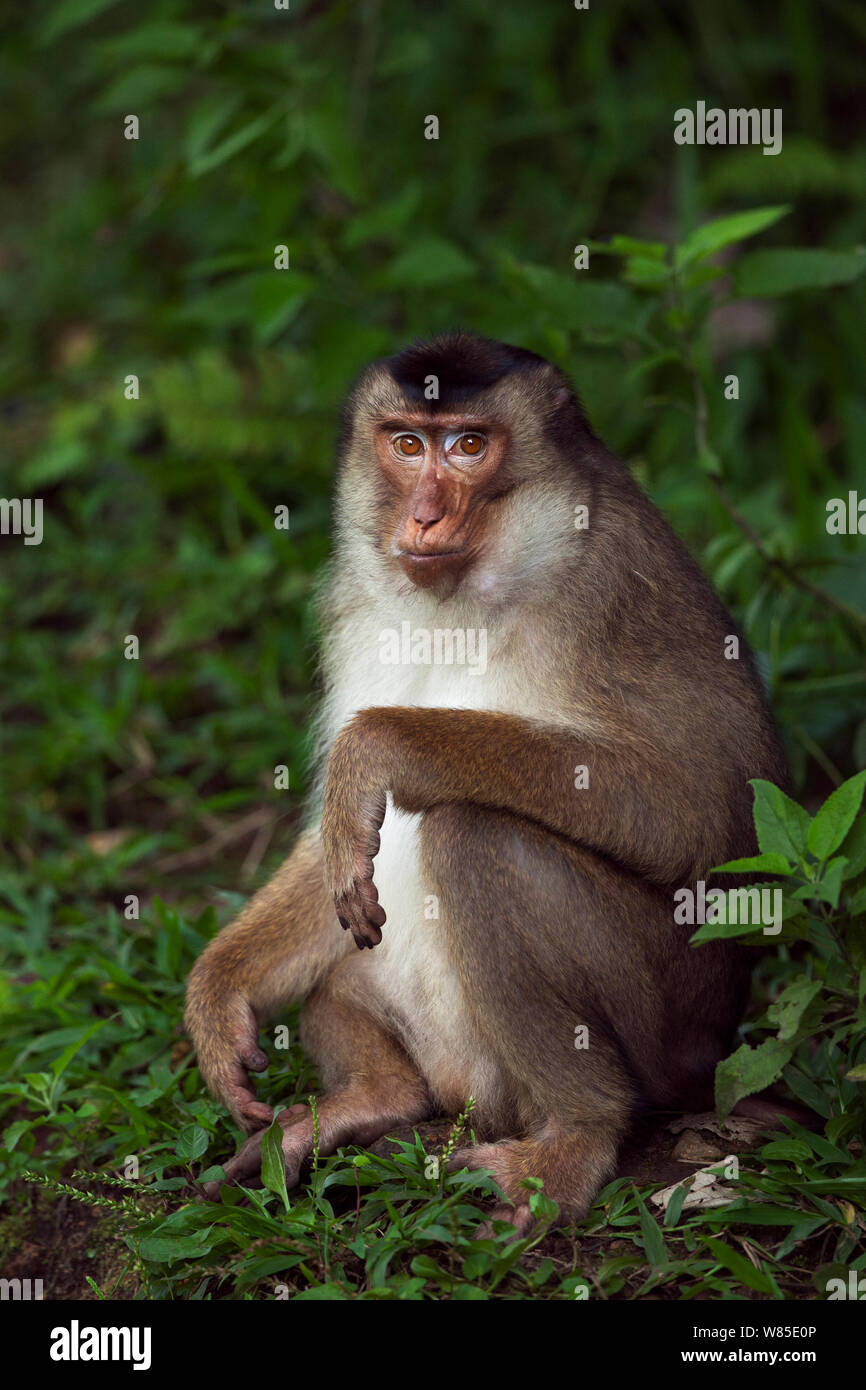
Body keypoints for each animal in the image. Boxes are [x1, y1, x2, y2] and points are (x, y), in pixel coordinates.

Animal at [185, 332, 788, 1234]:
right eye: (407, 444)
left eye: (470, 445)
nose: (424, 517)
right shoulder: (354, 606)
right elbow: (335, 851)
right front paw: (220, 993)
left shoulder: (613, 588)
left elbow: (707, 814)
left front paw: (385, 745)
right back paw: (375, 1096)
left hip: (666, 1022)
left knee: (476, 837)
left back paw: (576, 1137)